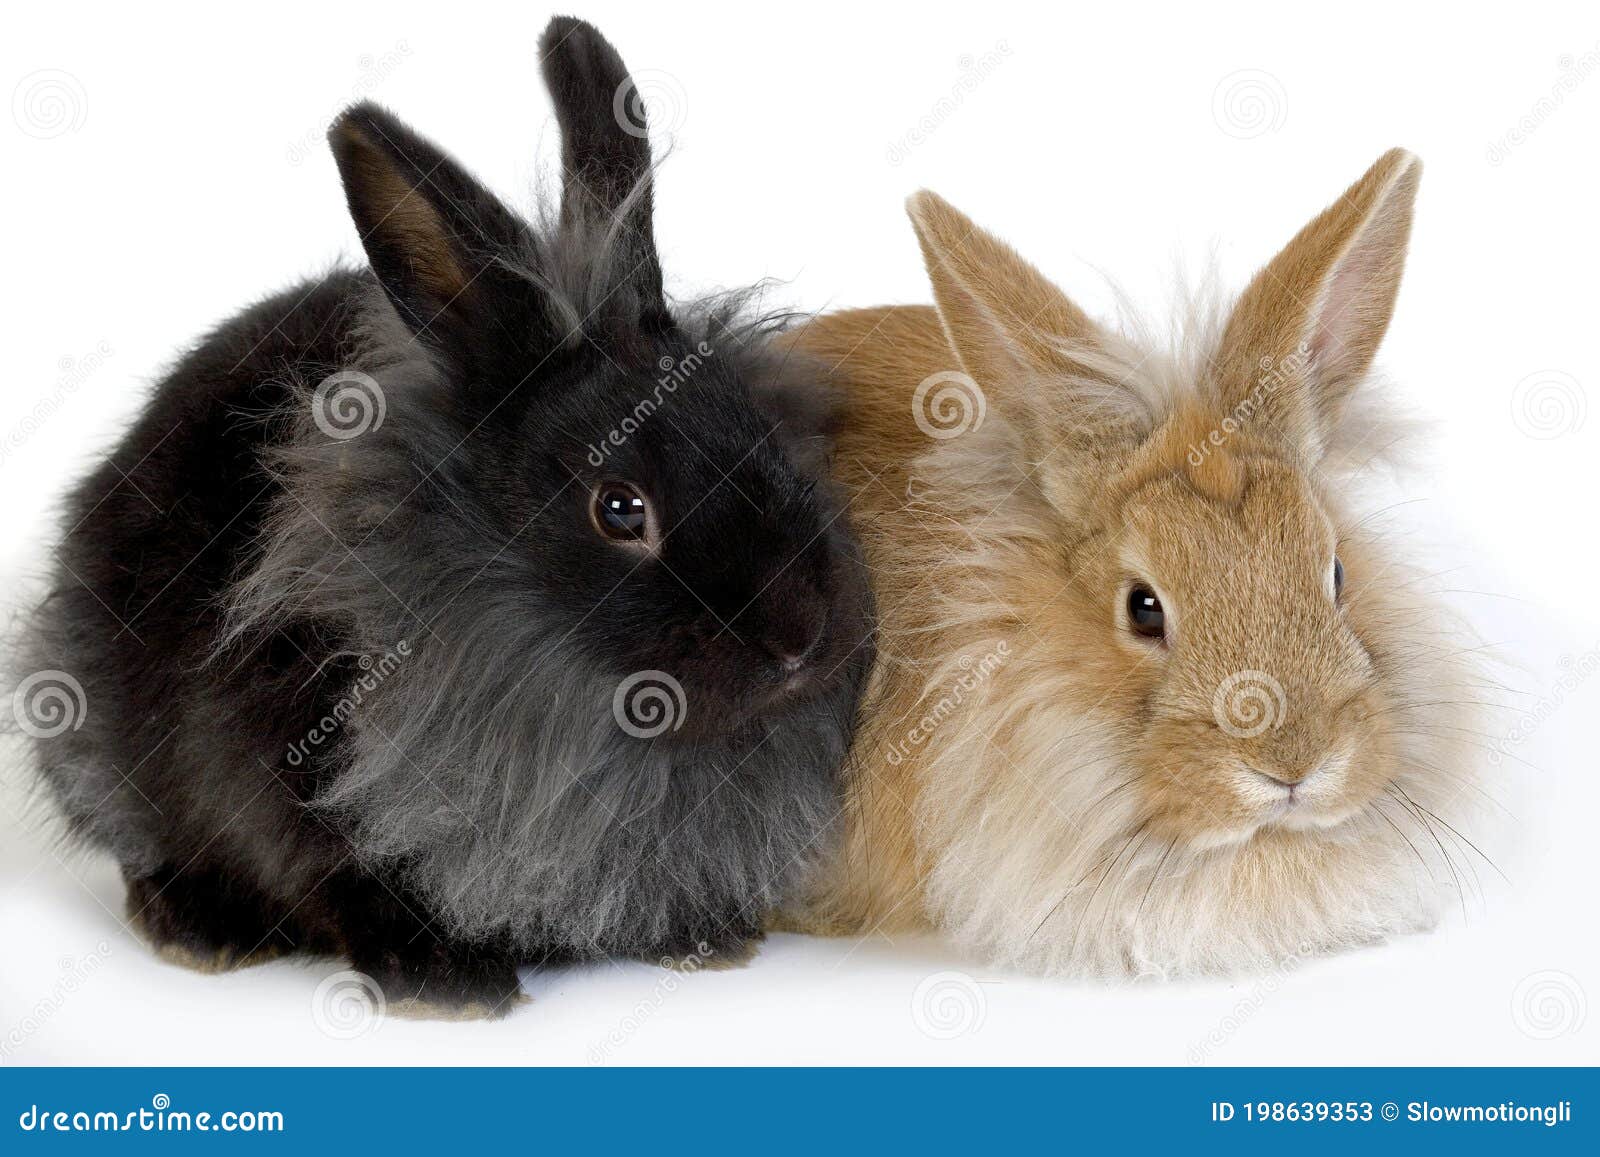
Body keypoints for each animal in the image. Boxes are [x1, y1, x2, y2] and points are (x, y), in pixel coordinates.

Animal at [15, 15, 874, 1017]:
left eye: (761, 430)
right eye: (620, 509)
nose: (801, 639)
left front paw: (713, 939)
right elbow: (349, 879)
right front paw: (446, 985)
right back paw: (198, 929)